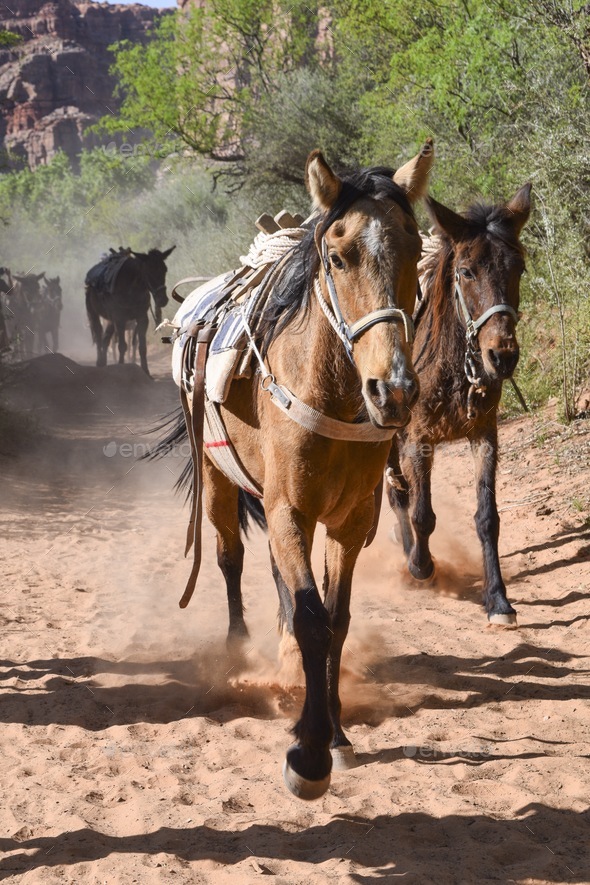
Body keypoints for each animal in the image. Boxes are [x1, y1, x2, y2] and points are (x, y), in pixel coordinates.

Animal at [85, 247, 175, 376]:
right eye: (148, 271)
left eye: (165, 270)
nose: (163, 300)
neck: (131, 287)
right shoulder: (120, 319)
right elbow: (122, 346)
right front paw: (122, 368)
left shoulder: (142, 319)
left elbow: (142, 347)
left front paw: (146, 371)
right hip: (94, 314)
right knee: (98, 337)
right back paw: (99, 362)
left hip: (110, 320)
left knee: (106, 339)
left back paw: (104, 363)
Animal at [169, 143, 433, 799]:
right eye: (337, 256)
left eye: (416, 250)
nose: (393, 390)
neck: (330, 395)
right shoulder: (288, 510)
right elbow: (313, 621)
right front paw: (308, 753)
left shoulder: (349, 521)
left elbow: (334, 621)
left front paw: (335, 731)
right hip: (219, 481)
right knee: (230, 557)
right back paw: (239, 649)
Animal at [386, 185, 531, 626]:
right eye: (466, 272)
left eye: (519, 268)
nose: (502, 357)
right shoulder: (418, 440)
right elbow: (422, 514)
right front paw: (421, 567)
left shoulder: (485, 435)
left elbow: (487, 518)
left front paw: (498, 599)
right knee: (398, 497)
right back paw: (410, 556)